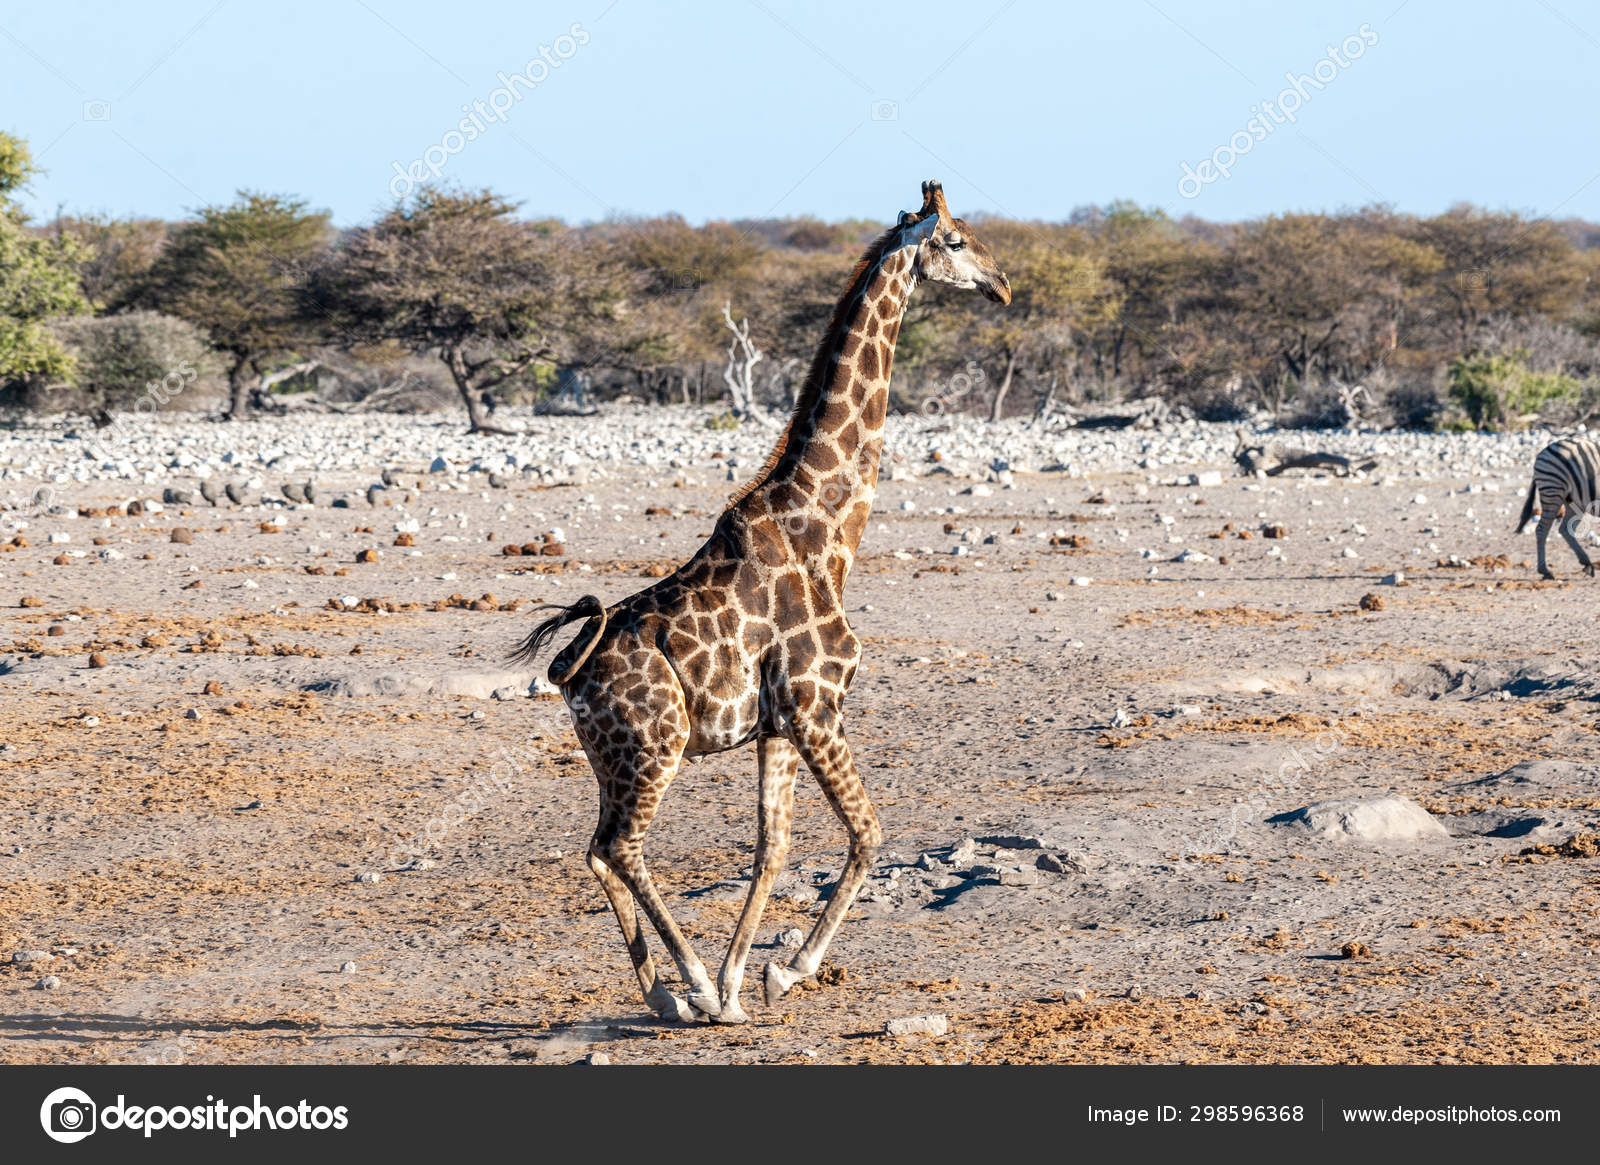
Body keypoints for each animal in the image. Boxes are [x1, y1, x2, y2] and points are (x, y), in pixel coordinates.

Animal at [514, 180, 1010, 1023]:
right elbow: (868, 833)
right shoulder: (817, 704)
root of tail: (570, 671)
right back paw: (689, 984)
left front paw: (744, 979)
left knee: (598, 850)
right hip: (656, 746)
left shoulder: (776, 722)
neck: (827, 528)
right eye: (955, 240)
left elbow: (771, 847)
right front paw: (784, 970)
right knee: (621, 847)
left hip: (611, 759)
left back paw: (666, 994)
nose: (1002, 286)